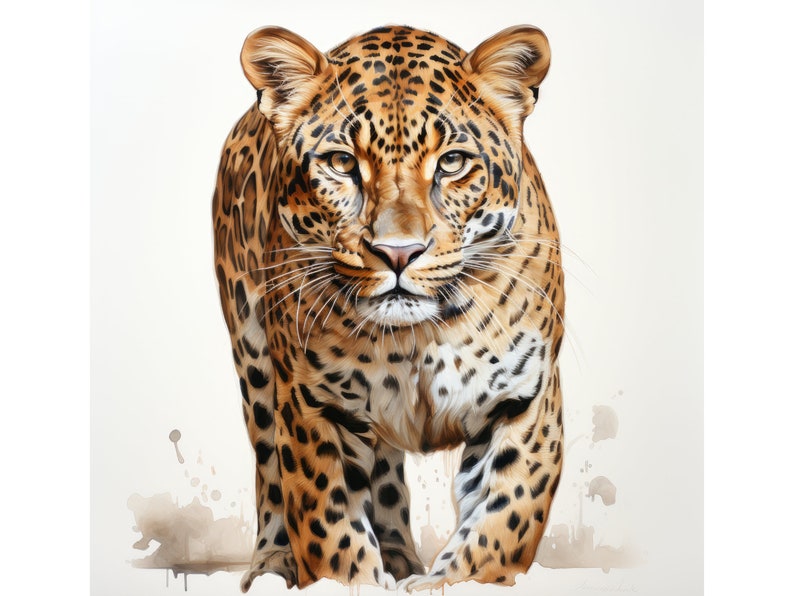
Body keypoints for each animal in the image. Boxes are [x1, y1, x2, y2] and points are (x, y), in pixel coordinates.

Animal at [212, 23, 565, 592]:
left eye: (452, 162)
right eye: (341, 163)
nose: (398, 252)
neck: (416, 339)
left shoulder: (524, 397)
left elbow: (502, 520)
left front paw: (449, 581)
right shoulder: (314, 406)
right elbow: (329, 526)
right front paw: (349, 579)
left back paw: (399, 557)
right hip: (255, 360)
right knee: (270, 467)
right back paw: (271, 564)